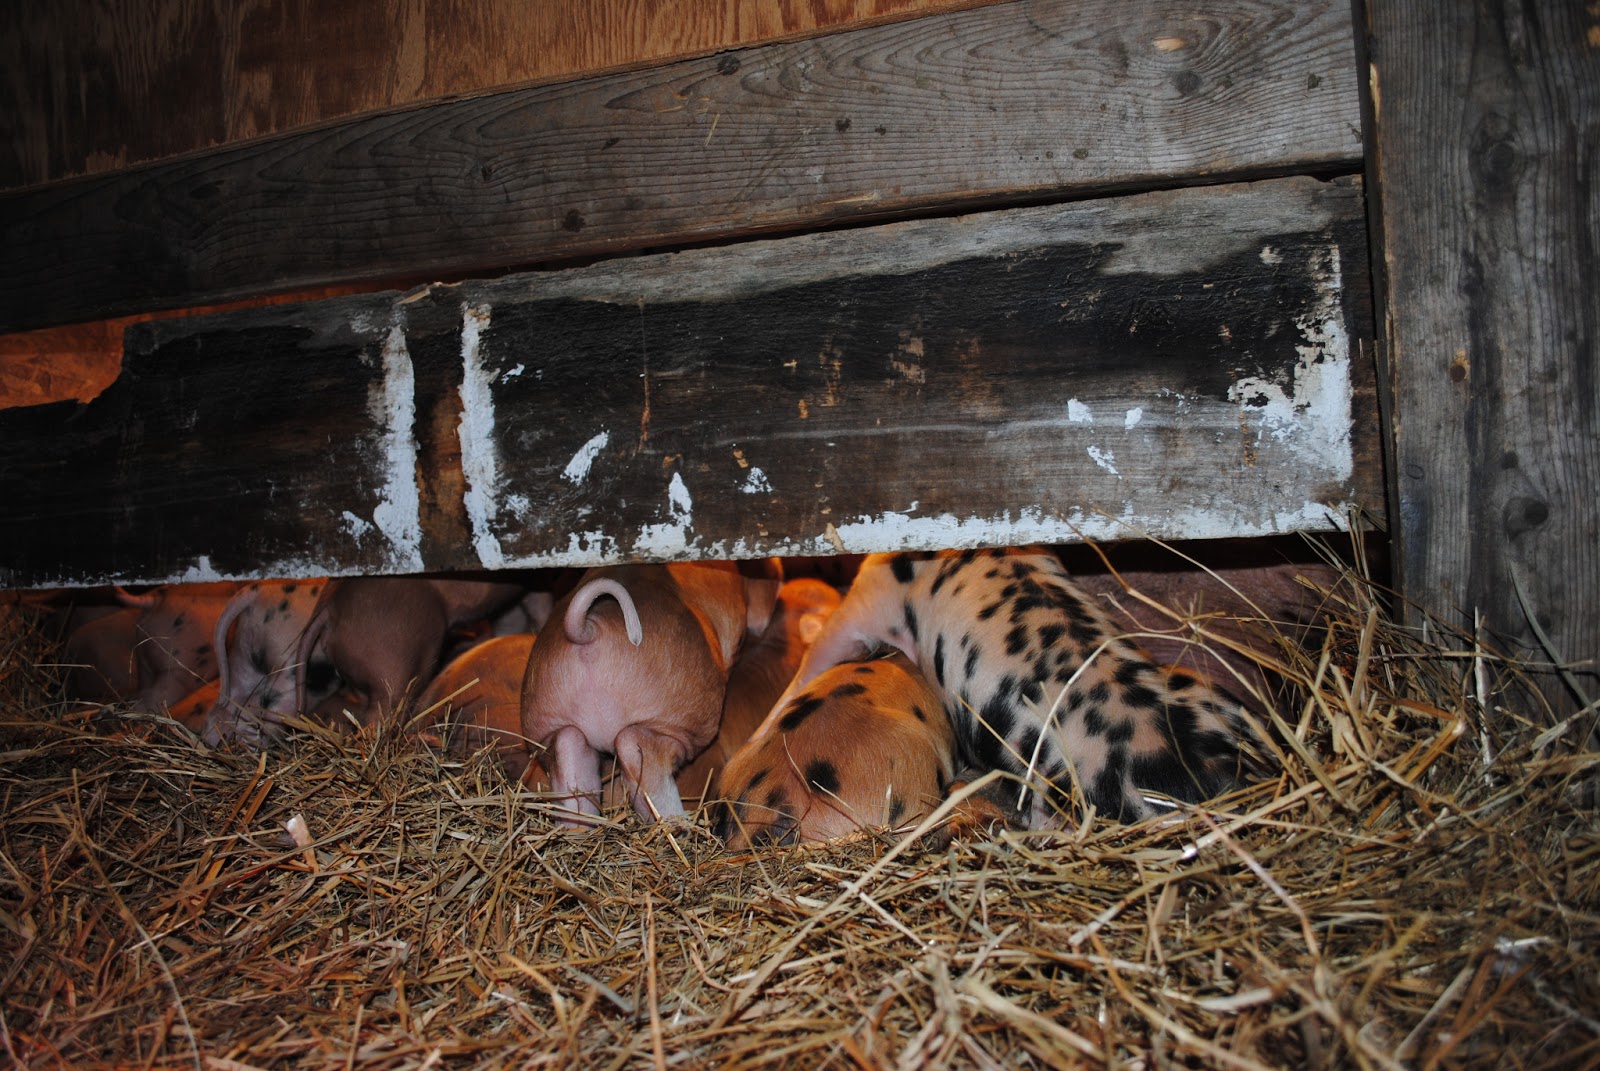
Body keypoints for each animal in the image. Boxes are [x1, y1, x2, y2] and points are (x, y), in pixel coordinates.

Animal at [520, 561, 777, 825]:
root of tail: (589, 628)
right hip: (675, 720)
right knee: (638, 752)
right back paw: (679, 825)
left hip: (546, 725)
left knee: (569, 752)